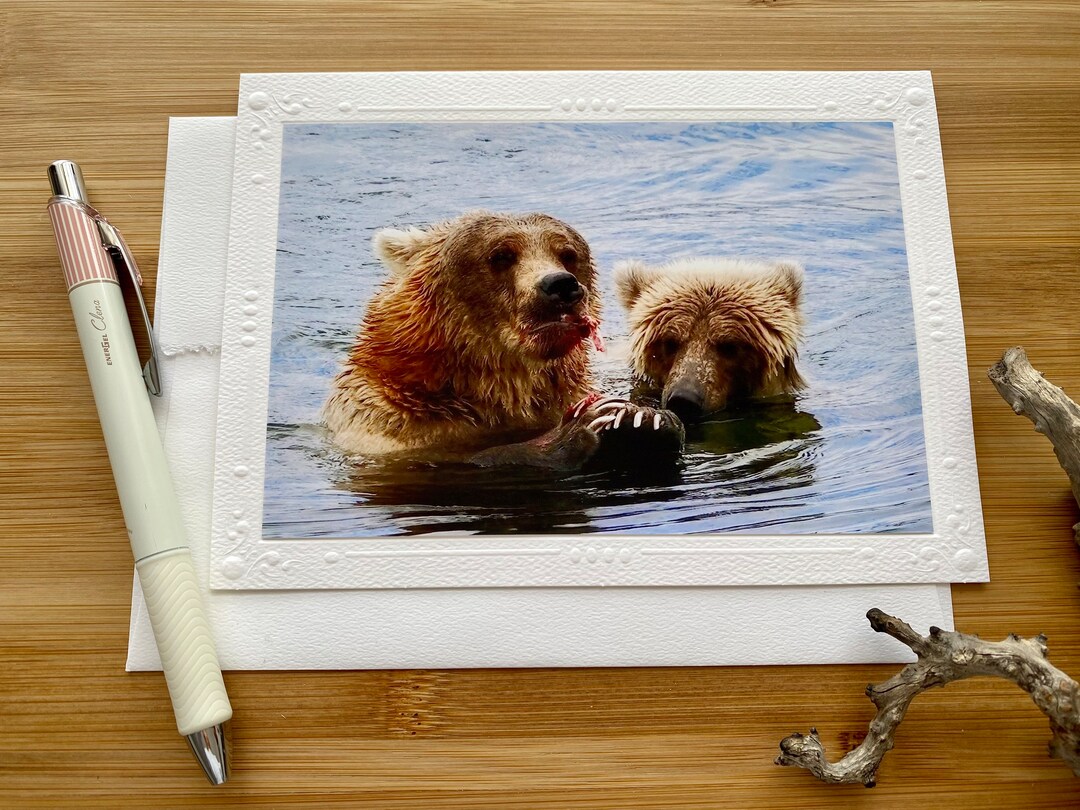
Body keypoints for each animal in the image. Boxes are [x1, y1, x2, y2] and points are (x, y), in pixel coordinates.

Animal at [323, 211, 683, 470]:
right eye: (501, 255)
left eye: (567, 253)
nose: (560, 284)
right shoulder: (390, 424)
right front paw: (589, 423)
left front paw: (642, 417)